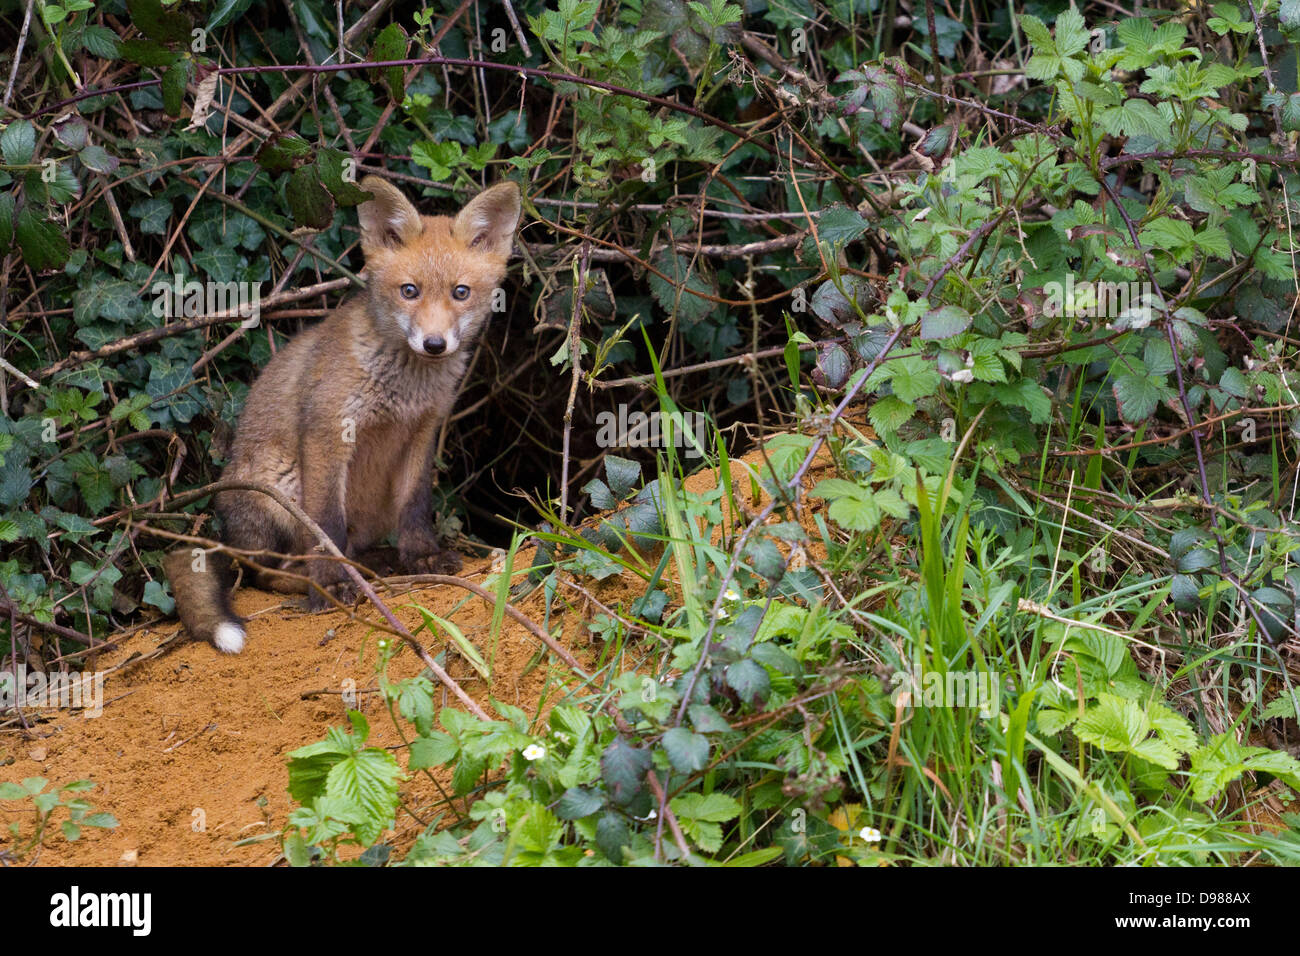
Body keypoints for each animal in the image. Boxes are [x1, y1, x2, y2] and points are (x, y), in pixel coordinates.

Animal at [163, 176, 522, 653]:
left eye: (460, 293)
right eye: (409, 291)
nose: (434, 344)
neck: (404, 388)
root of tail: (229, 536)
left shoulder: (422, 431)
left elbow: (416, 506)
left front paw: (421, 556)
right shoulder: (329, 431)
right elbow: (326, 526)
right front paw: (331, 586)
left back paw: (377, 563)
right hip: (281, 489)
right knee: (266, 575)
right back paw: (320, 579)